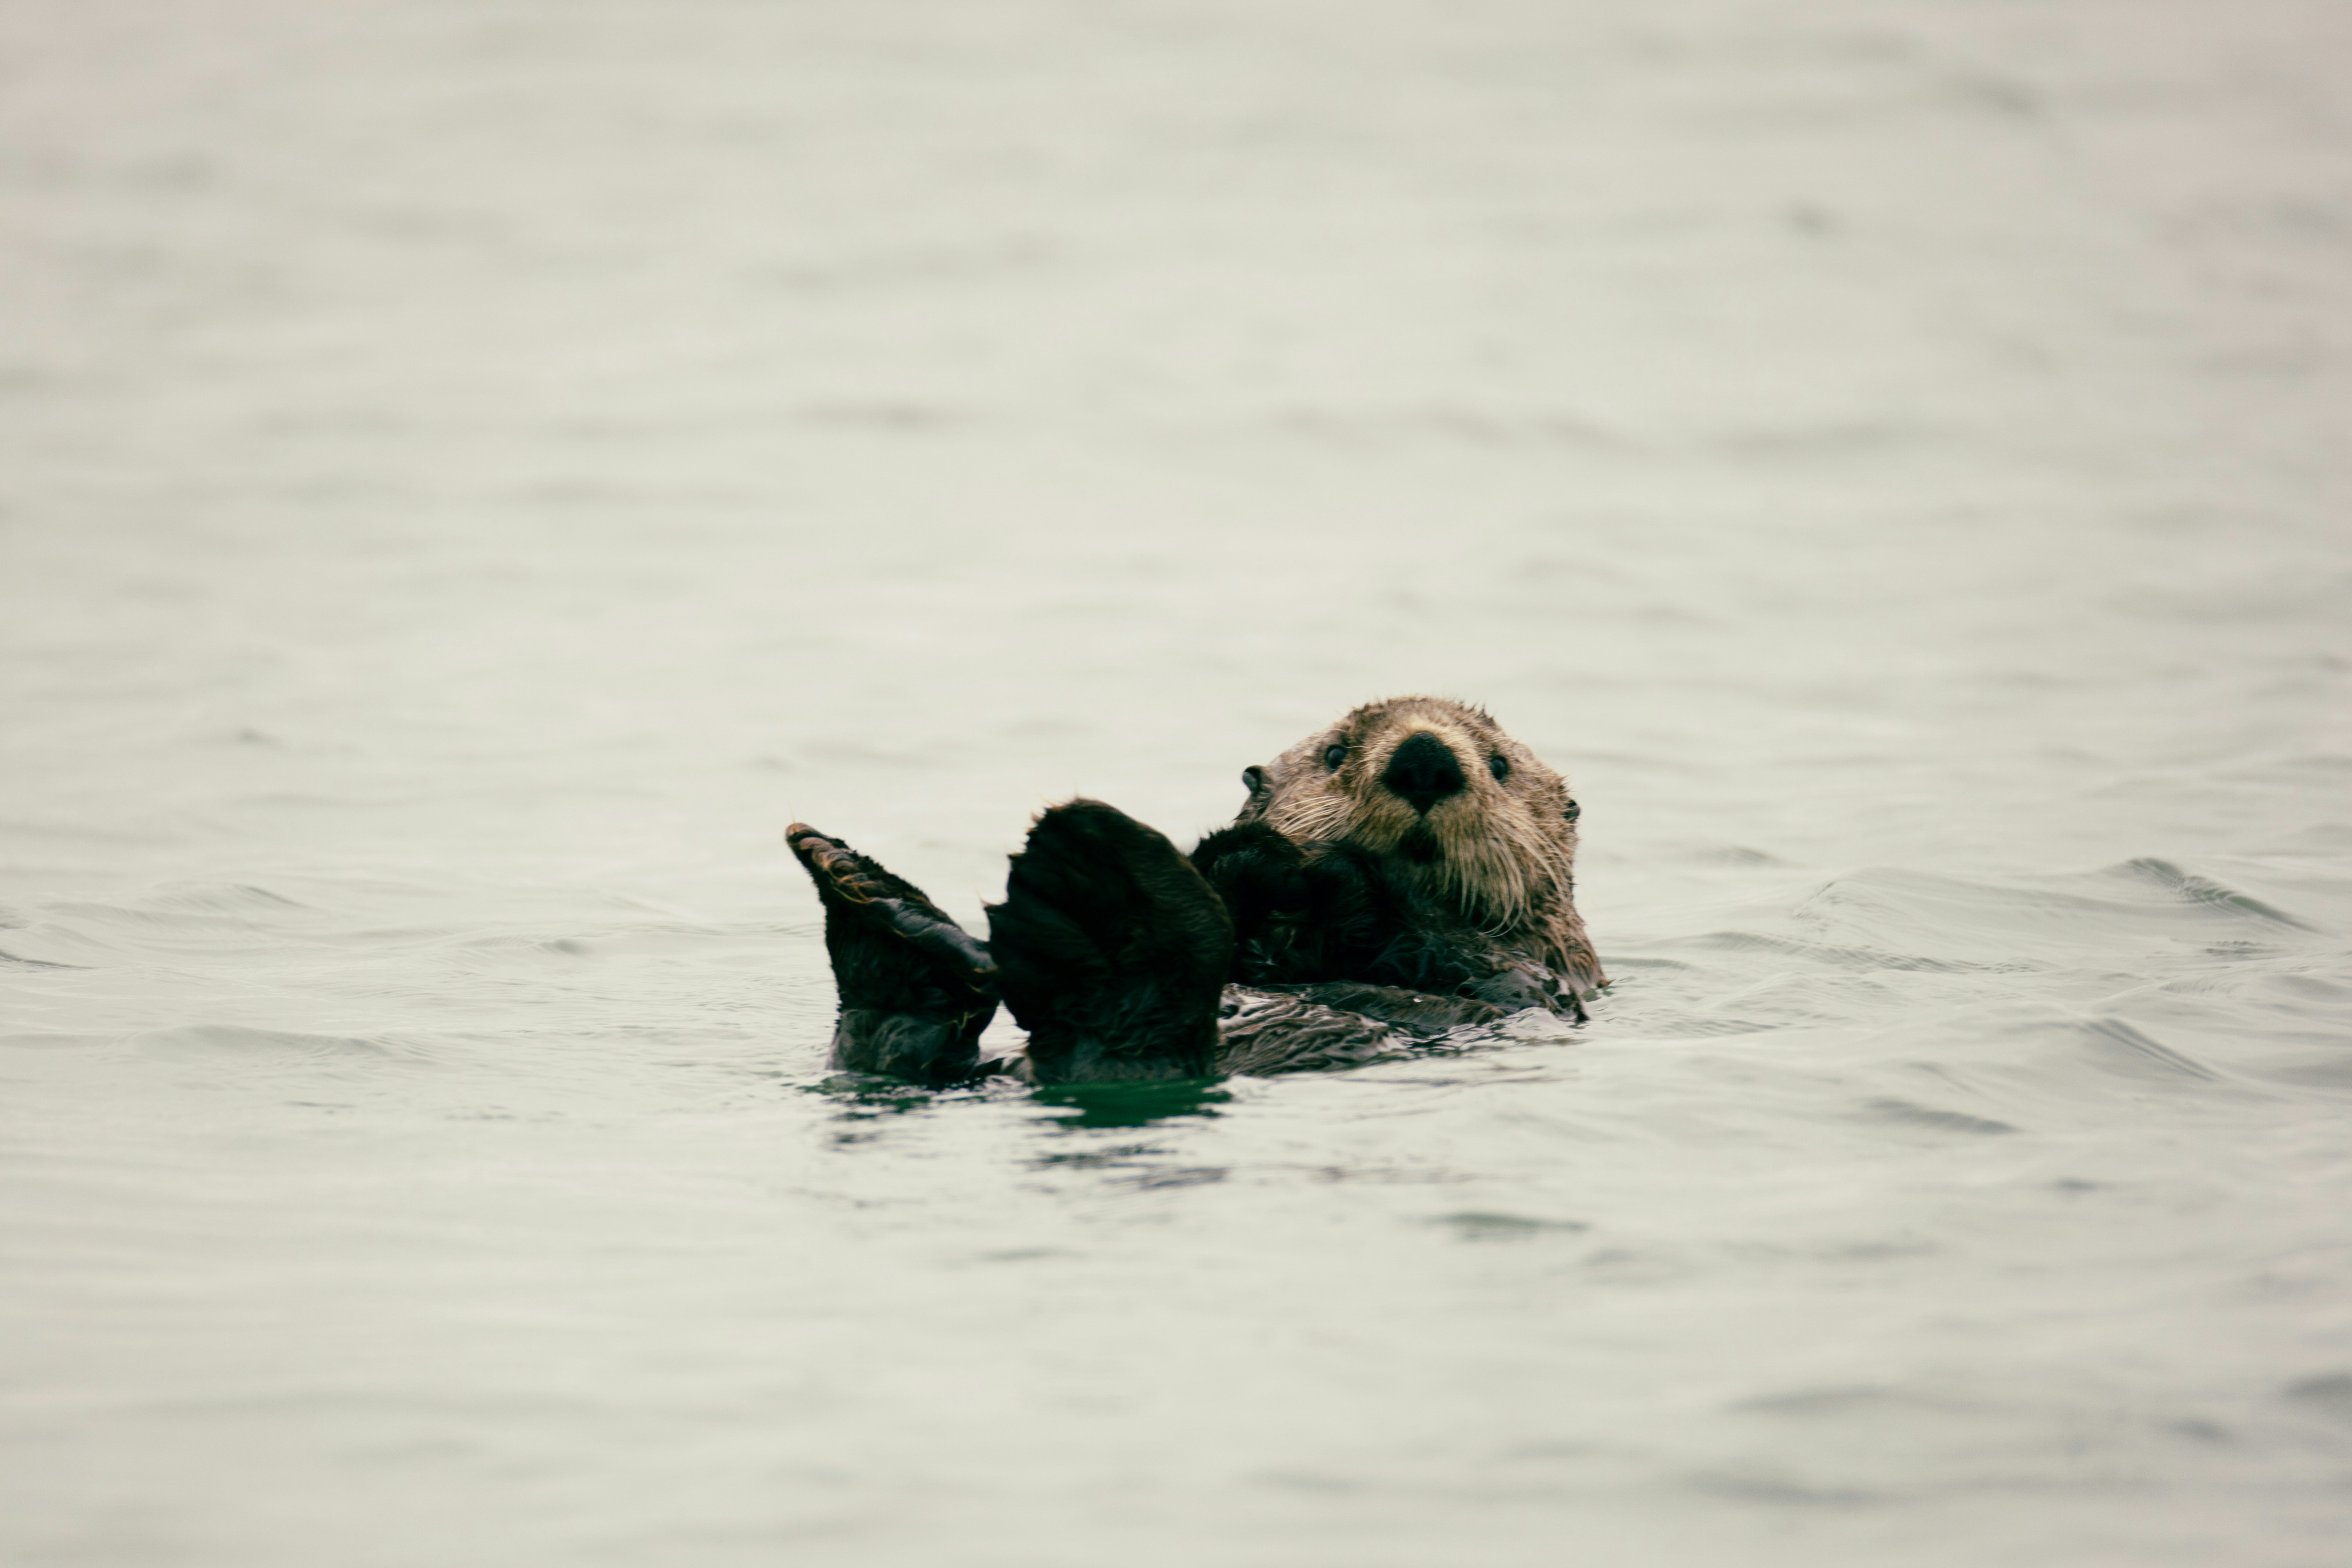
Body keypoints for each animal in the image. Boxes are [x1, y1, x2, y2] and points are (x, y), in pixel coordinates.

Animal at [787, 697, 1602, 1085]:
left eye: (1498, 765)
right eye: (1337, 753)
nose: (1426, 758)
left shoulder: (1542, 973)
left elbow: (1466, 958)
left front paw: (1326, 878)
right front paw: (1251, 861)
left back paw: (1102, 892)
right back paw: (862, 889)